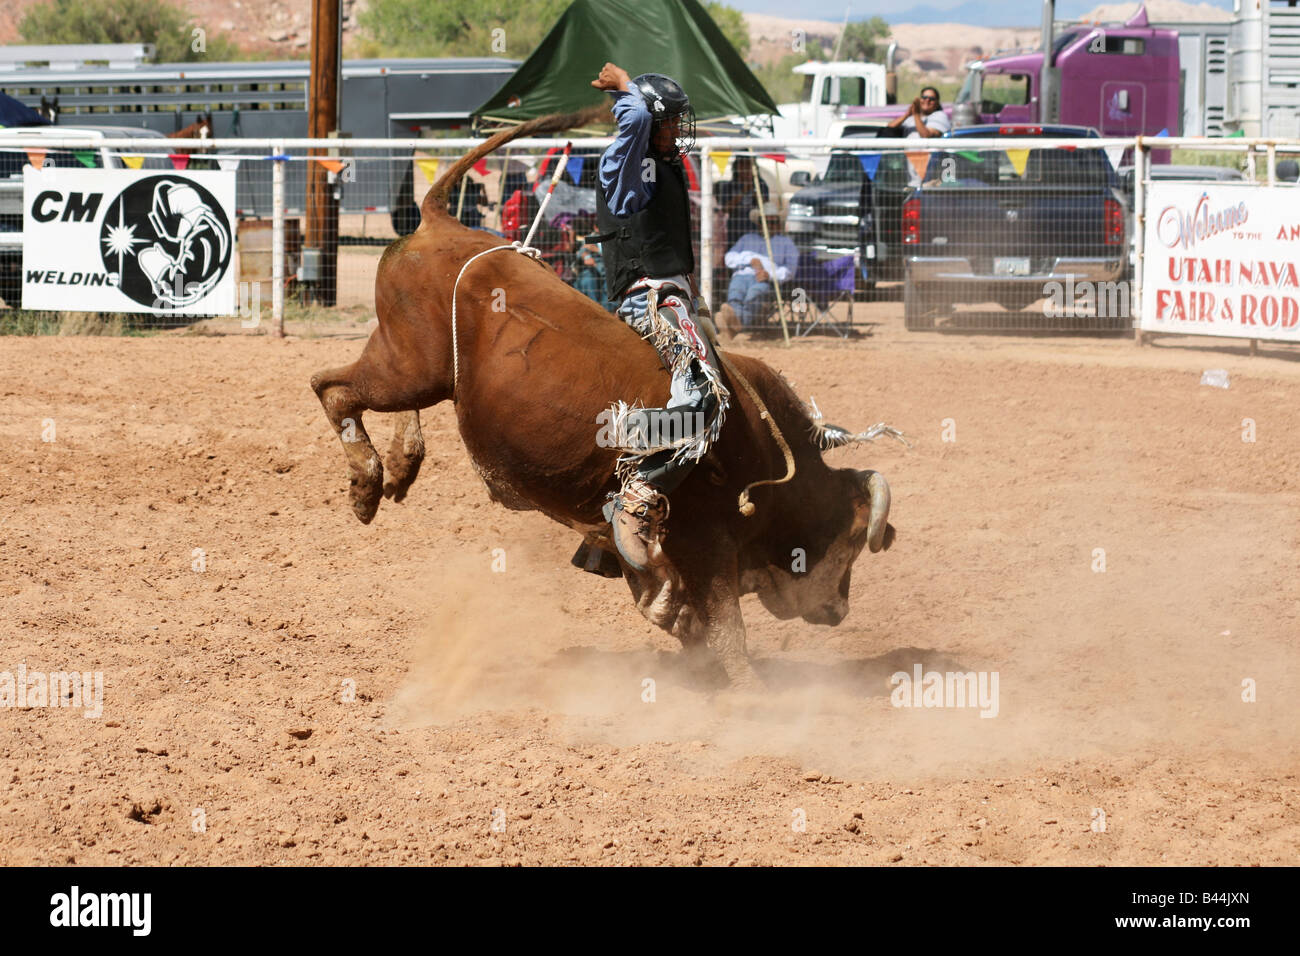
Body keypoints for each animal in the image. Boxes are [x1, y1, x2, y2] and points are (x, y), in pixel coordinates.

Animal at [310, 106, 897, 688]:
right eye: (850, 545)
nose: (839, 609)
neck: (759, 441)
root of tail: (438, 223)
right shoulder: (707, 542)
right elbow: (726, 625)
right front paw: (752, 693)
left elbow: (672, 607)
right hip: (405, 369)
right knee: (331, 387)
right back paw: (366, 483)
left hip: (412, 366)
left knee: (372, 396)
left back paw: (402, 463)